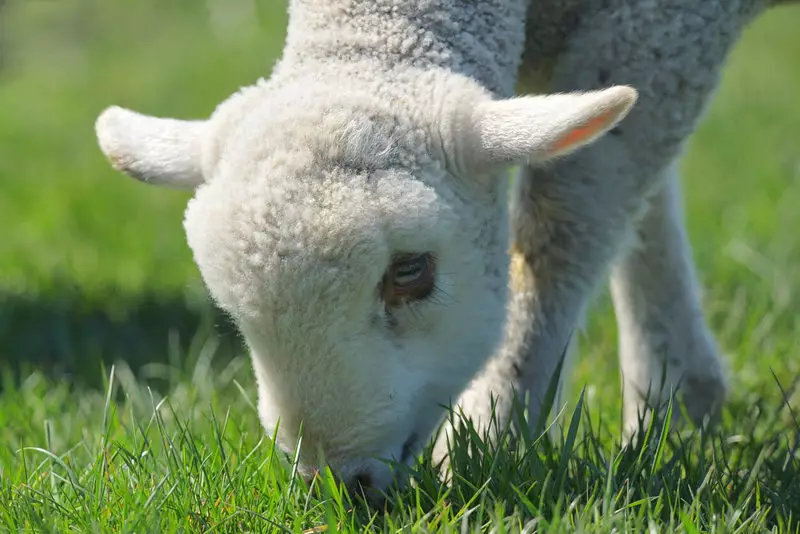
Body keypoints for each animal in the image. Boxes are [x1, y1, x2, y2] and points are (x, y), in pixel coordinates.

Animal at [94, 1, 636, 502]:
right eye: (234, 314)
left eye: (411, 271)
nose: (337, 486)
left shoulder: (636, 35)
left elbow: (566, 233)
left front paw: (491, 438)